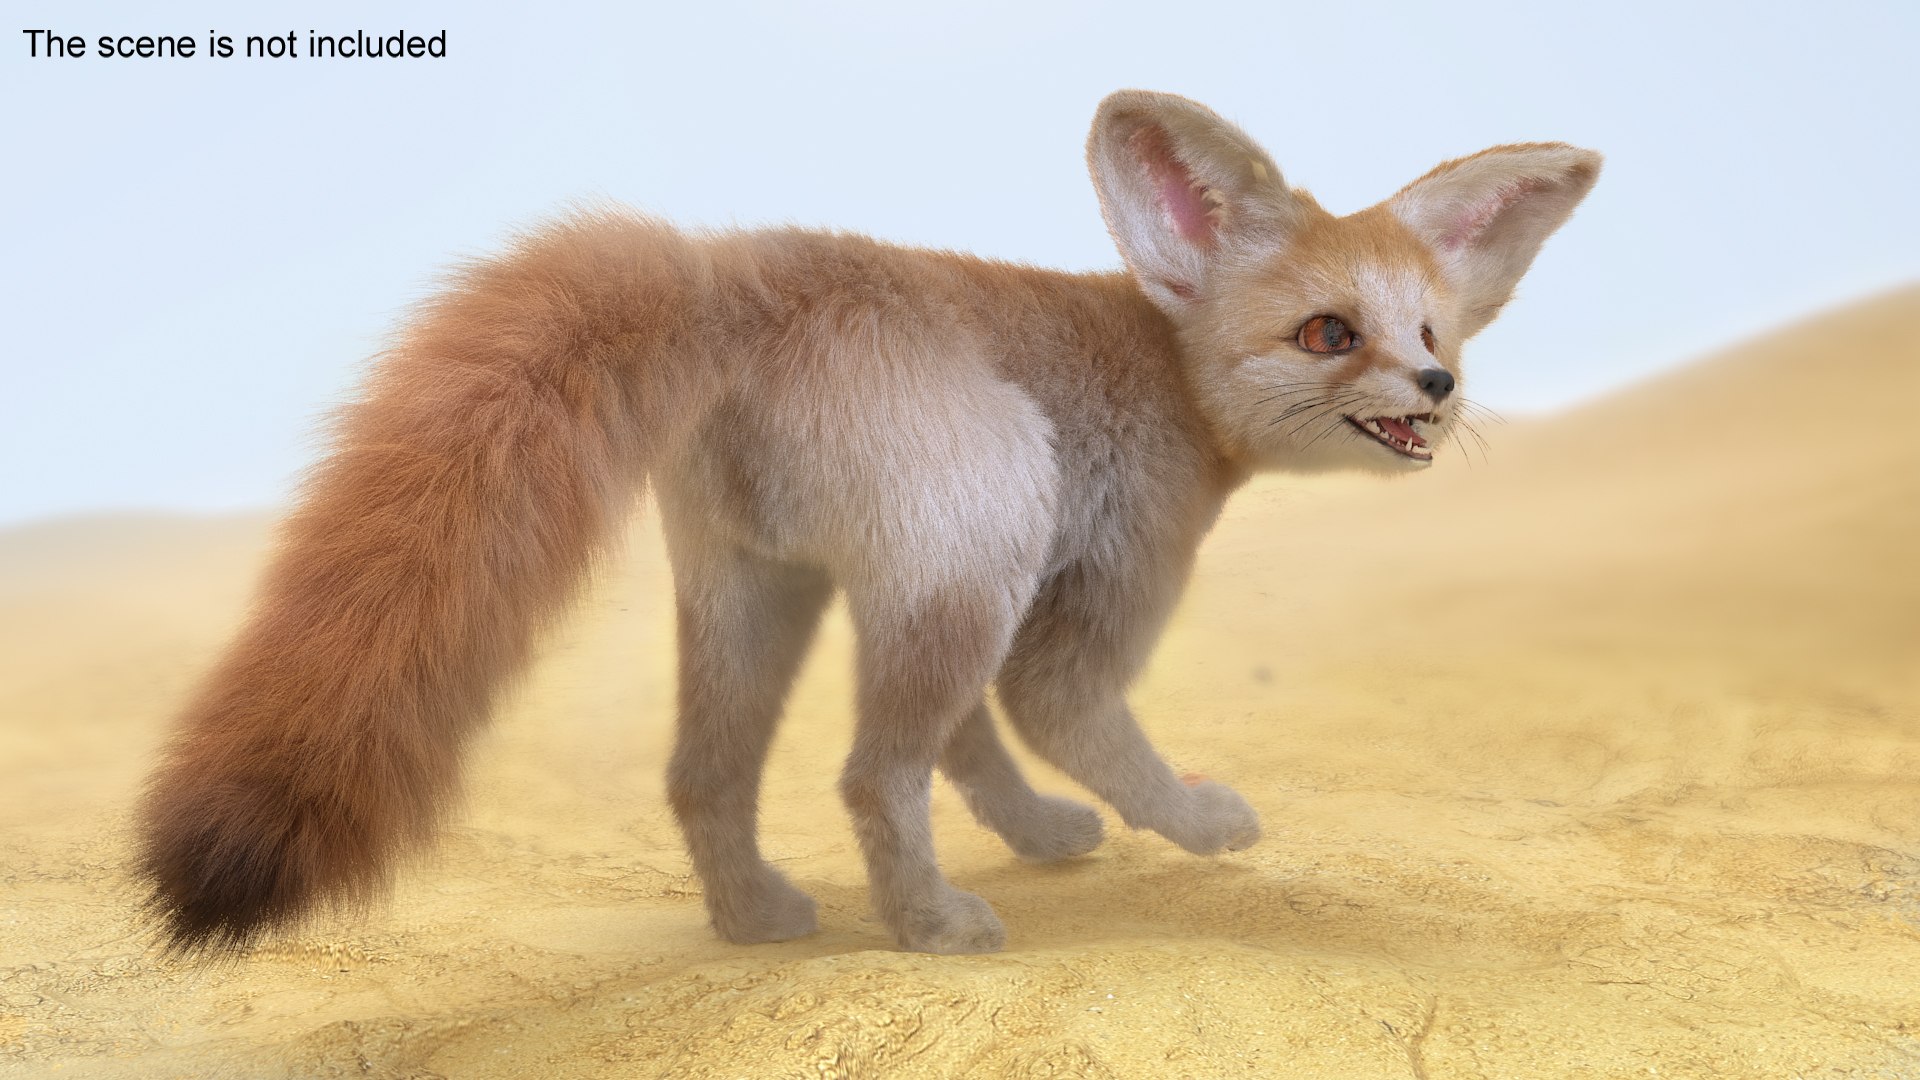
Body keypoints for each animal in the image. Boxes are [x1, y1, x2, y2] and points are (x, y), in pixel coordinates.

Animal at [137, 90, 1599, 955]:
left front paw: (1044, 835)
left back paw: (757, 919)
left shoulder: (981, 587)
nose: (1438, 390)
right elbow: (1056, 723)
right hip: (974, 534)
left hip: (766, 590)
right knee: (865, 773)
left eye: (1436, 332)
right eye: (1330, 335)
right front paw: (1192, 823)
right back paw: (933, 926)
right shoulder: (1087, 587)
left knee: (707, 775)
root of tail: (730, 268)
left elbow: (972, 744)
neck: (1162, 370)